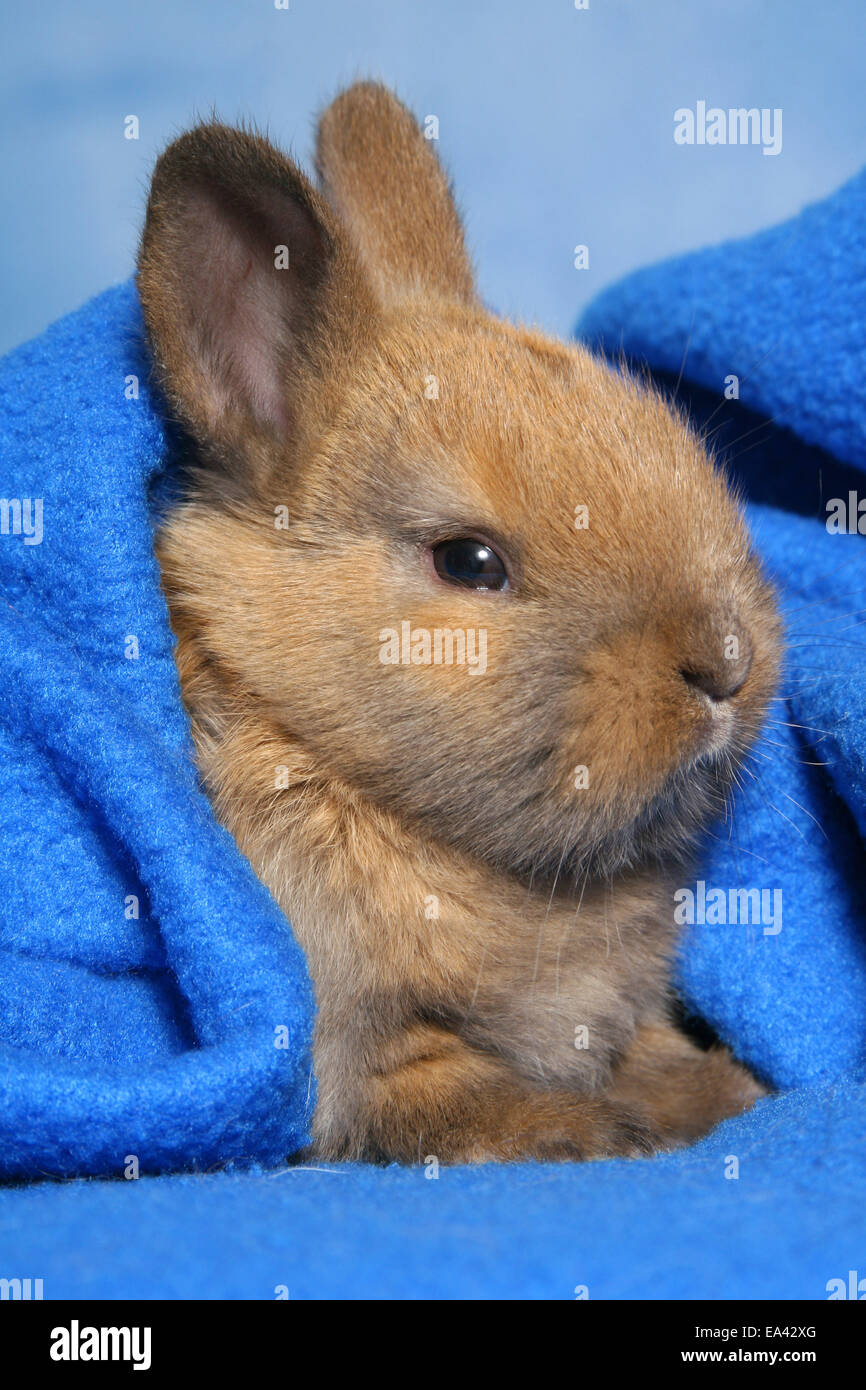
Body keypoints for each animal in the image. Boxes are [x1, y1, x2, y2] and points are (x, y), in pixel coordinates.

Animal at [138, 81, 781, 1163]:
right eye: (467, 562)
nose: (724, 664)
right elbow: (458, 1098)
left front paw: (727, 1092)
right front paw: (595, 1130)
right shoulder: (357, 1049)